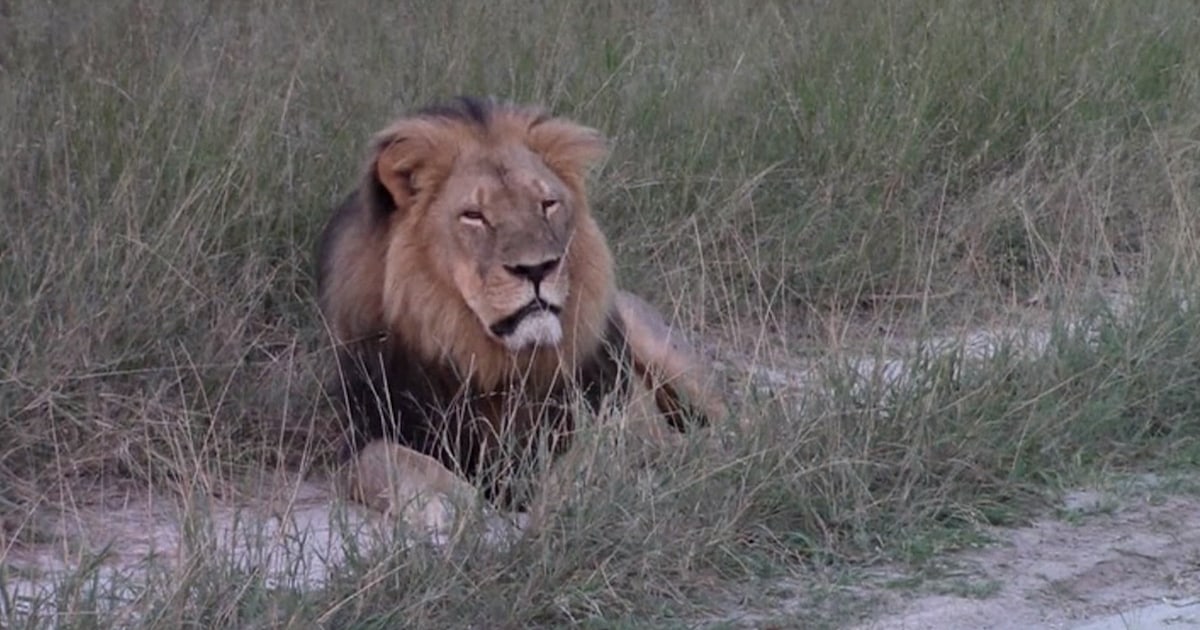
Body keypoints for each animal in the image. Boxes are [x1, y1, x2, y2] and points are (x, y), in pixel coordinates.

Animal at [315, 97, 729, 537]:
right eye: (474, 215)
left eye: (547, 204)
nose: (537, 269)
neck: (492, 361)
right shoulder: (365, 432)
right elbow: (388, 459)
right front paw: (450, 502)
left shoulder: (597, 412)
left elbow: (592, 454)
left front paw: (571, 498)